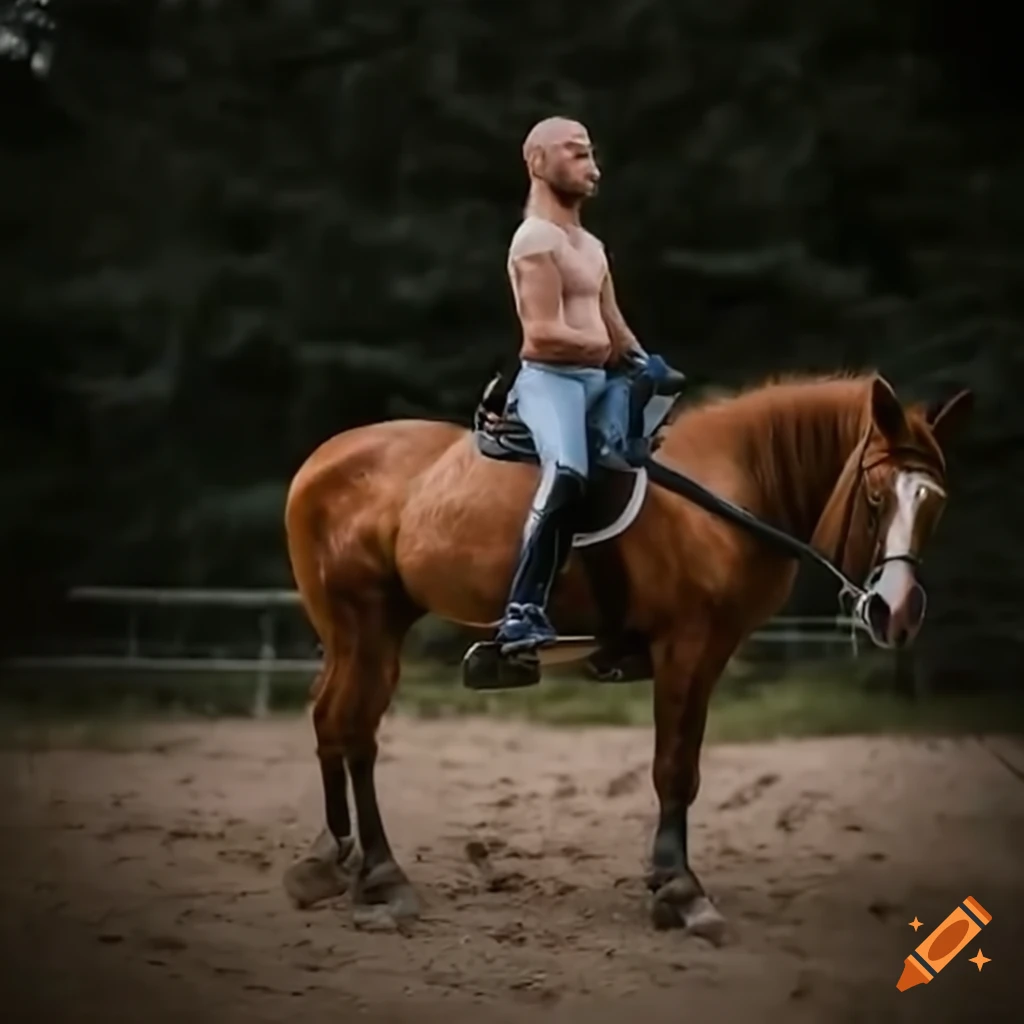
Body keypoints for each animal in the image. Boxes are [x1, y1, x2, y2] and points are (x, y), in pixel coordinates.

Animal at [279, 370, 972, 939]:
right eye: (878, 497)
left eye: (937, 504)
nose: (896, 612)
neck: (725, 490)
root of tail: (323, 458)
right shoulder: (687, 645)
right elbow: (674, 769)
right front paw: (681, 892)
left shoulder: (706, 651)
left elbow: (682, 768)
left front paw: (670, 882)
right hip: (364, 623)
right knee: (351, 725)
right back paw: (379, 875)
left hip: (368, 629)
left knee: (337, 722)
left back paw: (338, 862)